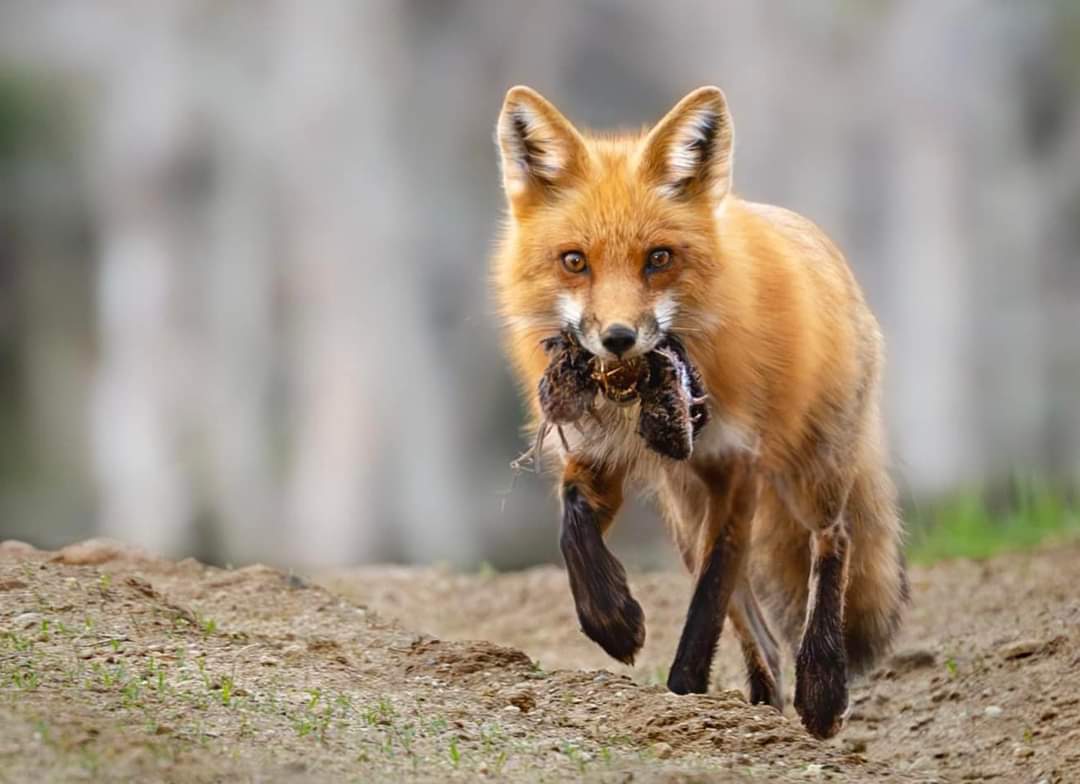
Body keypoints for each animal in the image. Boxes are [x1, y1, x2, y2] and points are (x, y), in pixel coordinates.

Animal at [490, 85, 908, 739]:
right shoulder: (598, 455)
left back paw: (821, 688)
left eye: (659, 258)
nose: (617, 339)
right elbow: (573, 525)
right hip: (685, 512)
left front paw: (682, 691)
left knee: (831, 542)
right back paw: (764, 706)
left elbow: (708, 600)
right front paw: (613, 620)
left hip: (811, 473)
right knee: (761, 633)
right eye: (575, 261)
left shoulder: (738, 466)